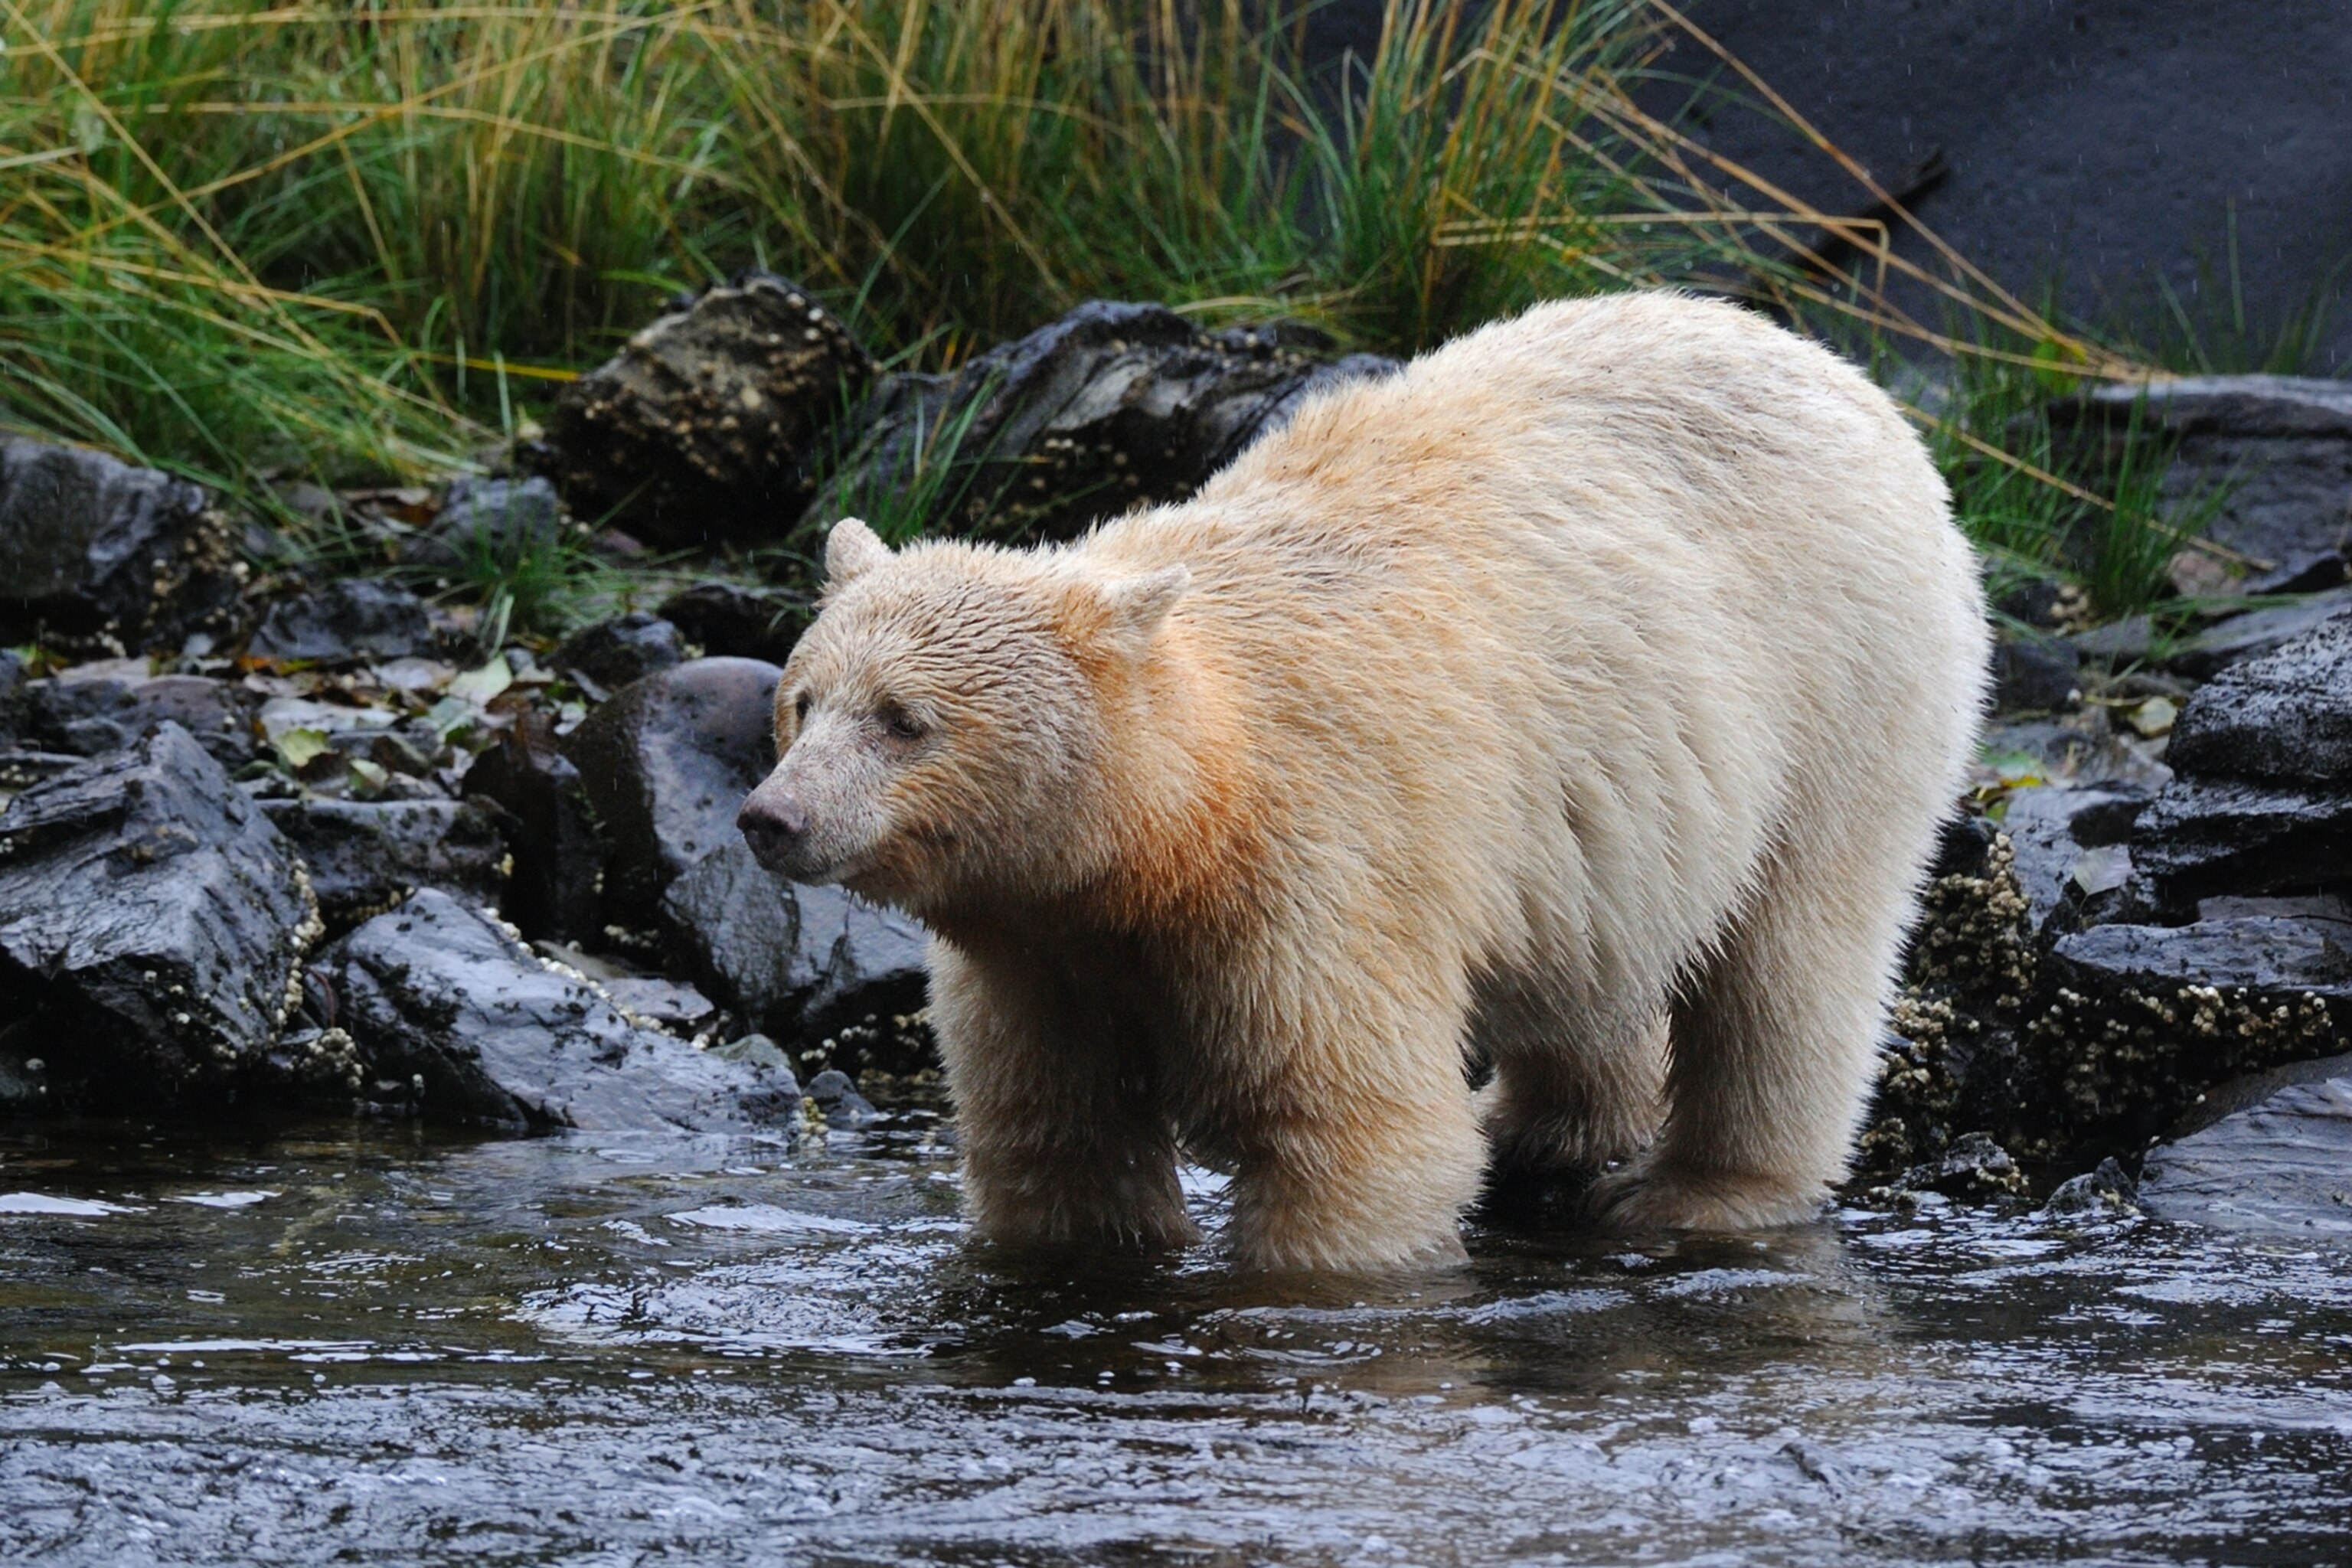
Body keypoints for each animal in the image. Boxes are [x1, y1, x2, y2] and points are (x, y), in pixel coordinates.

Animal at [739, 291, 1990, 1271]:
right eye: (804, 699)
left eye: (905, 720)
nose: (773, 818)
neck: (1184, 807)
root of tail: (1834, 370)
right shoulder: (1043, 952)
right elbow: (1062, 1136)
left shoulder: (1314, 871)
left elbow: (1352, 1128)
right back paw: (1544, 1123)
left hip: (1840, 682)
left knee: (1793, 955)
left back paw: (1699, 1188)